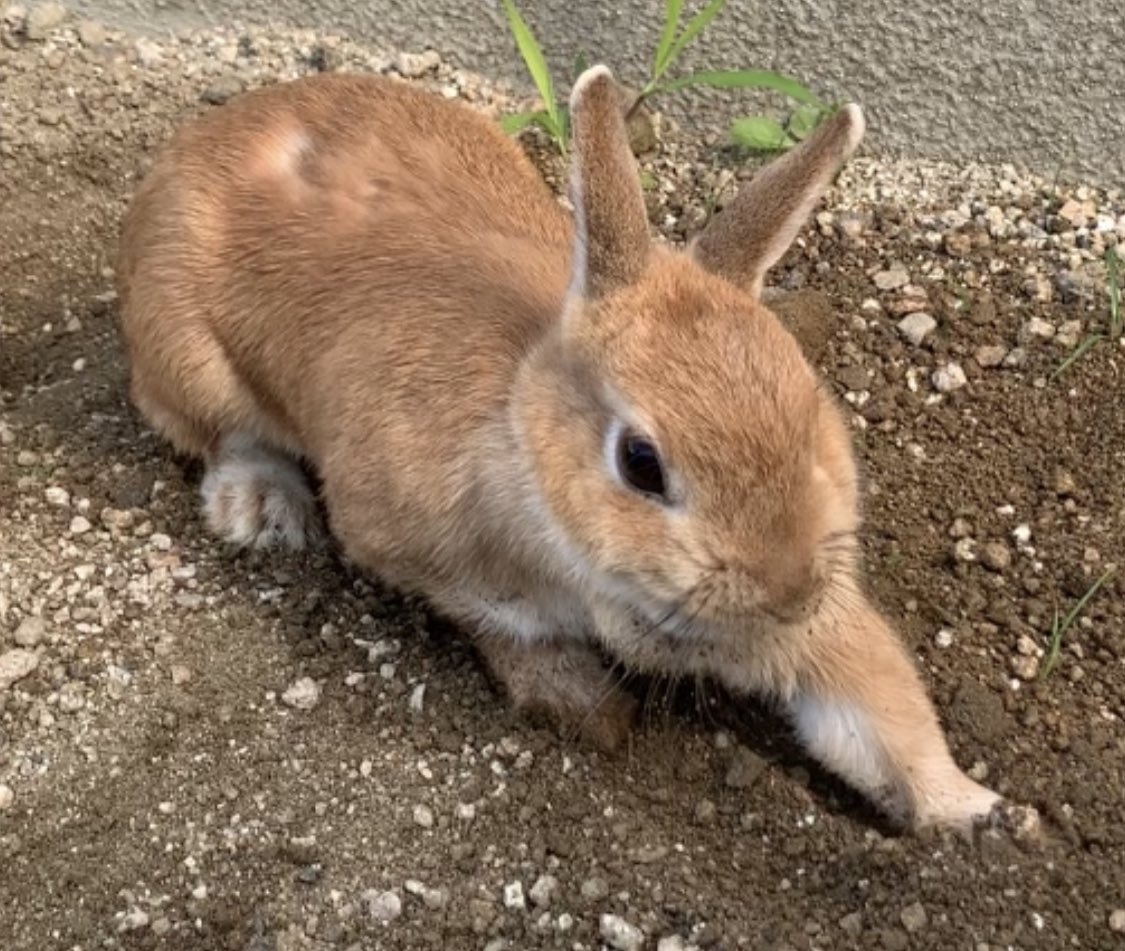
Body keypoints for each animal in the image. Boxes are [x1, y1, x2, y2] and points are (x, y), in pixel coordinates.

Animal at [116, 65, 1012, 833]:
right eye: (640, 463)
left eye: (810, 407)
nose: (788, 591)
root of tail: (206, 135)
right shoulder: (416, 547)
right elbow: (505, 623)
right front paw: (587, 704)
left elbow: (874, 700)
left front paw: (974, 812)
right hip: (185, 354)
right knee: (218, 432)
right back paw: (262, 508)